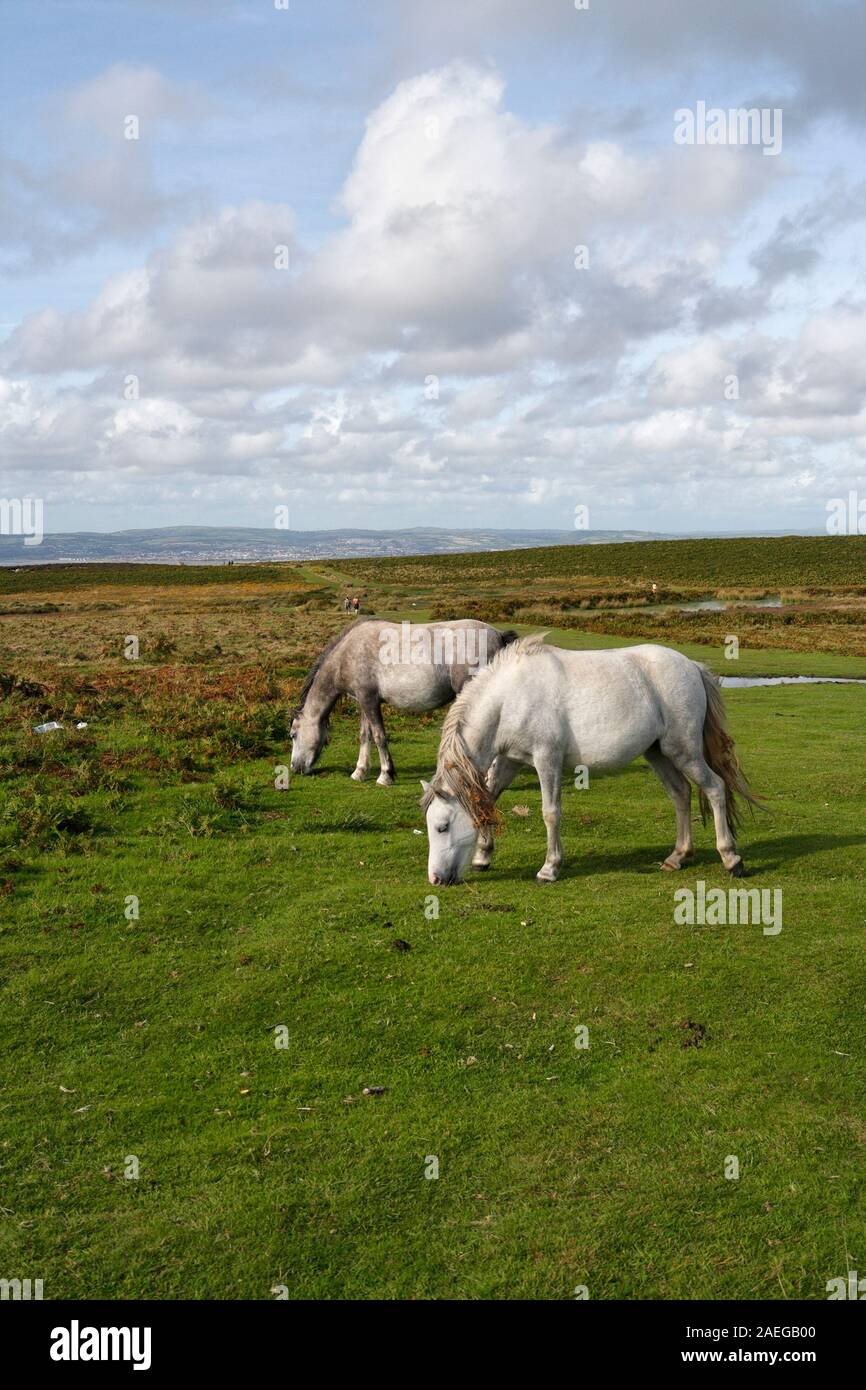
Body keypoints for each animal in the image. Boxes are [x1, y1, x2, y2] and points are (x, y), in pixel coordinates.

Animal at [291, 619, 518, 784]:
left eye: (293, 734)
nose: (294, 767)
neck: (348, 652)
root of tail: (497, 634)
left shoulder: (370, 702)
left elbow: (379, 736)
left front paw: (385, 775)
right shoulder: (364, 701)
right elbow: (365, 736)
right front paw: (359, 772)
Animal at [420, 634, 760, 884]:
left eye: (442, 826)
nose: (435, 879)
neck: (510, 697)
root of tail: (690, 666)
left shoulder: (547, 760)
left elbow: (550, 813)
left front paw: (549, 868)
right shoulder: (509, 760)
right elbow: (488, 802)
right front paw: (483, 856)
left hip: (684, 751)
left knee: (714, 788)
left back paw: (731, 859)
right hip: (658, 753)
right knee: (681, 794)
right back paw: (677, 856)